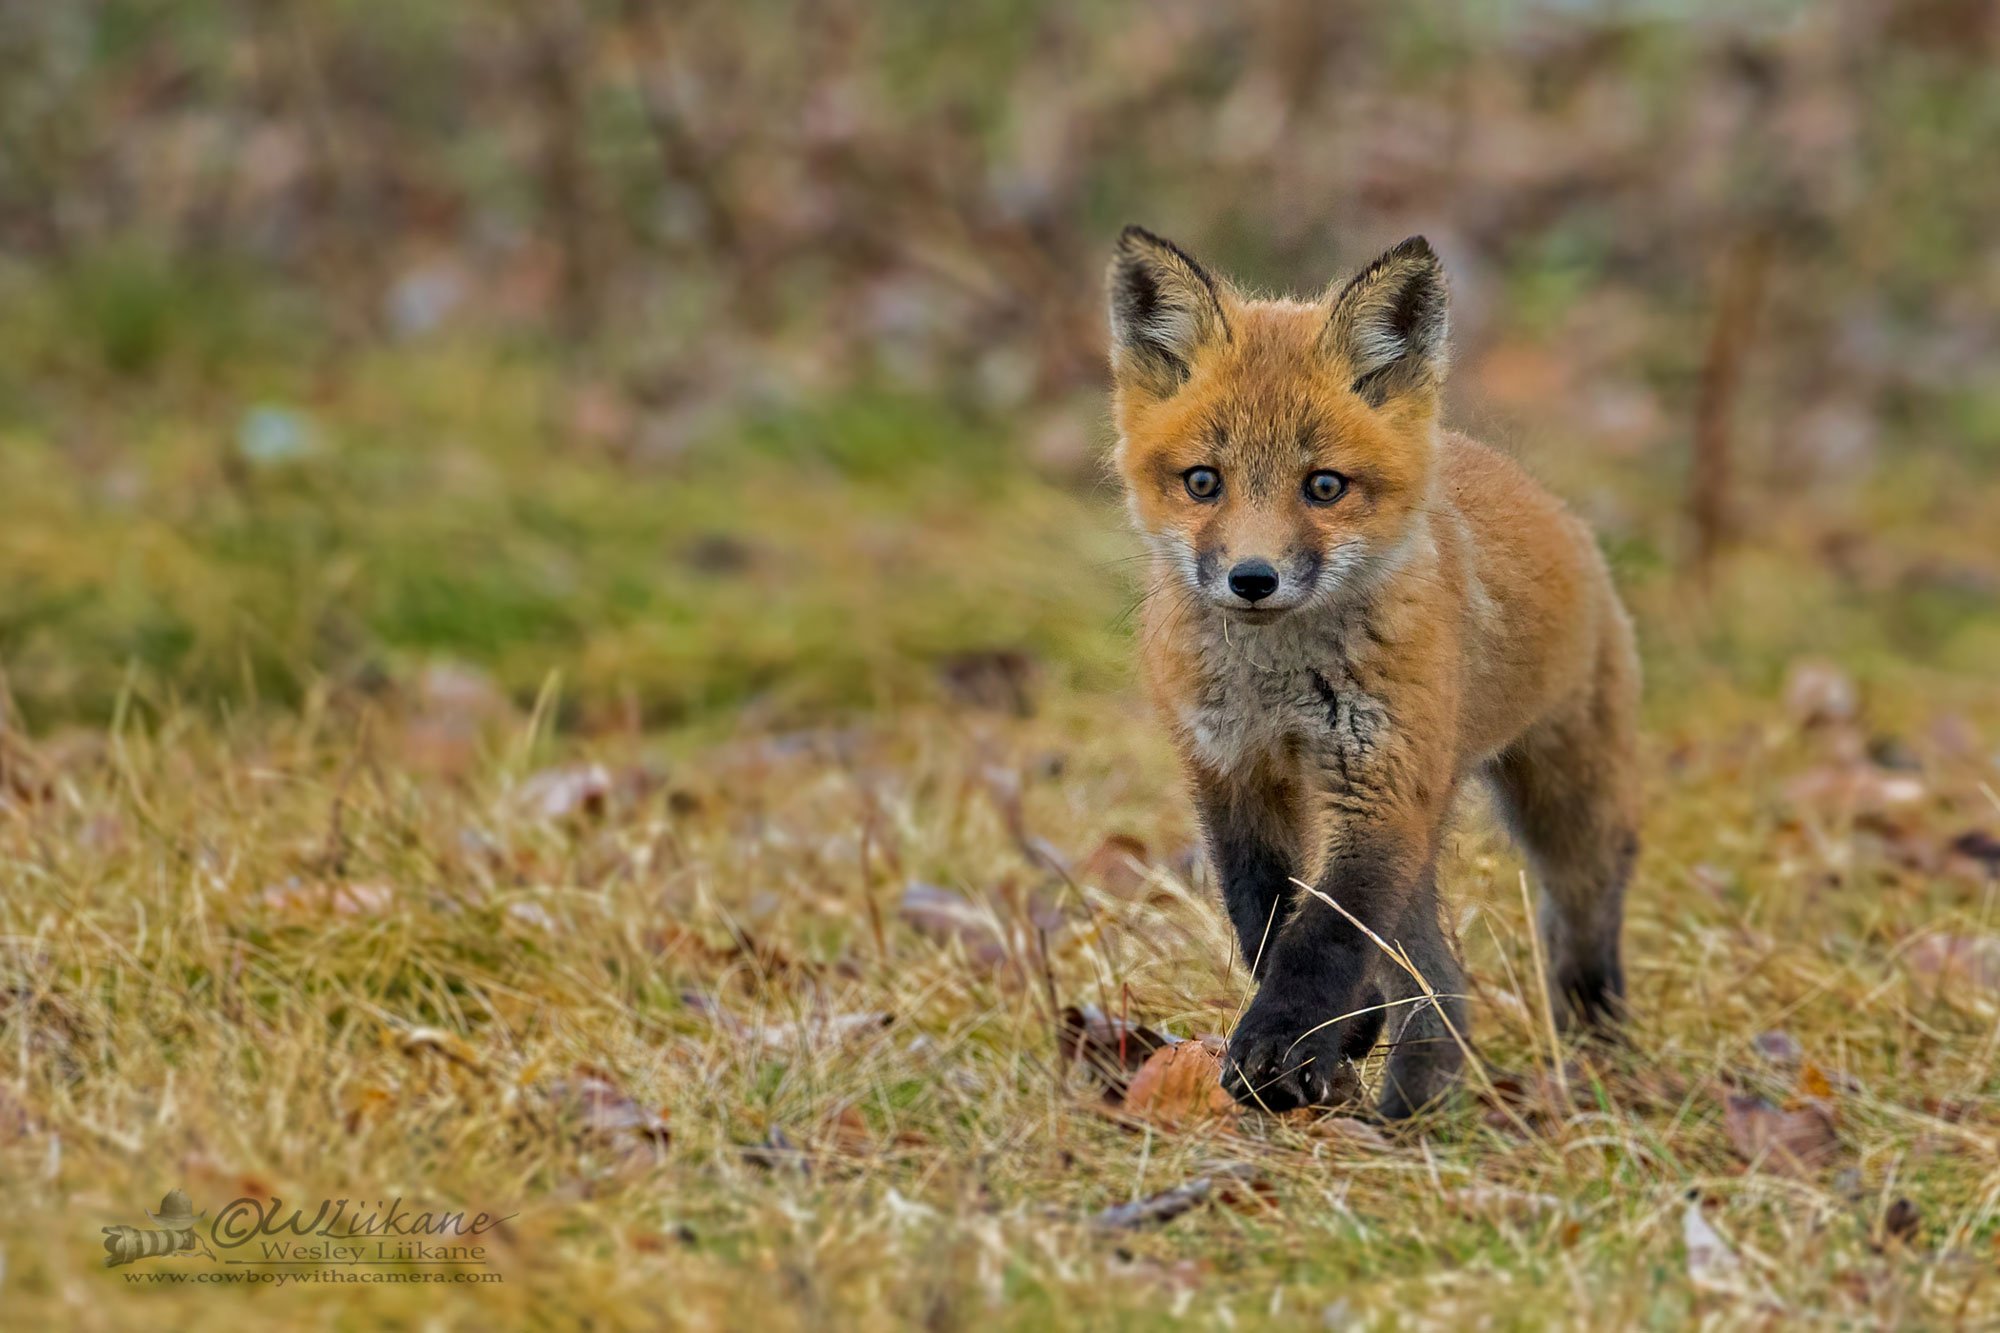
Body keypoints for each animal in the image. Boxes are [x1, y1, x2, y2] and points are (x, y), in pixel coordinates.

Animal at [1106, 226, 1641, 1118]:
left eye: (1324, 486)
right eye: (1203, 481)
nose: (1253, 578)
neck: (1278, 687)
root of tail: (1547, 501)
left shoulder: (1379, 787)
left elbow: (1323, 934)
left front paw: (1282, 1046)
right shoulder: (1233, 776)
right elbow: (1269, 920)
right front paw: (1341, 1032)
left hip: (1555, 797)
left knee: (1590, 895)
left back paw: (1593, 1023)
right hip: (1429, 821)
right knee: (1440, 976)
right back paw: (1417, 1095)